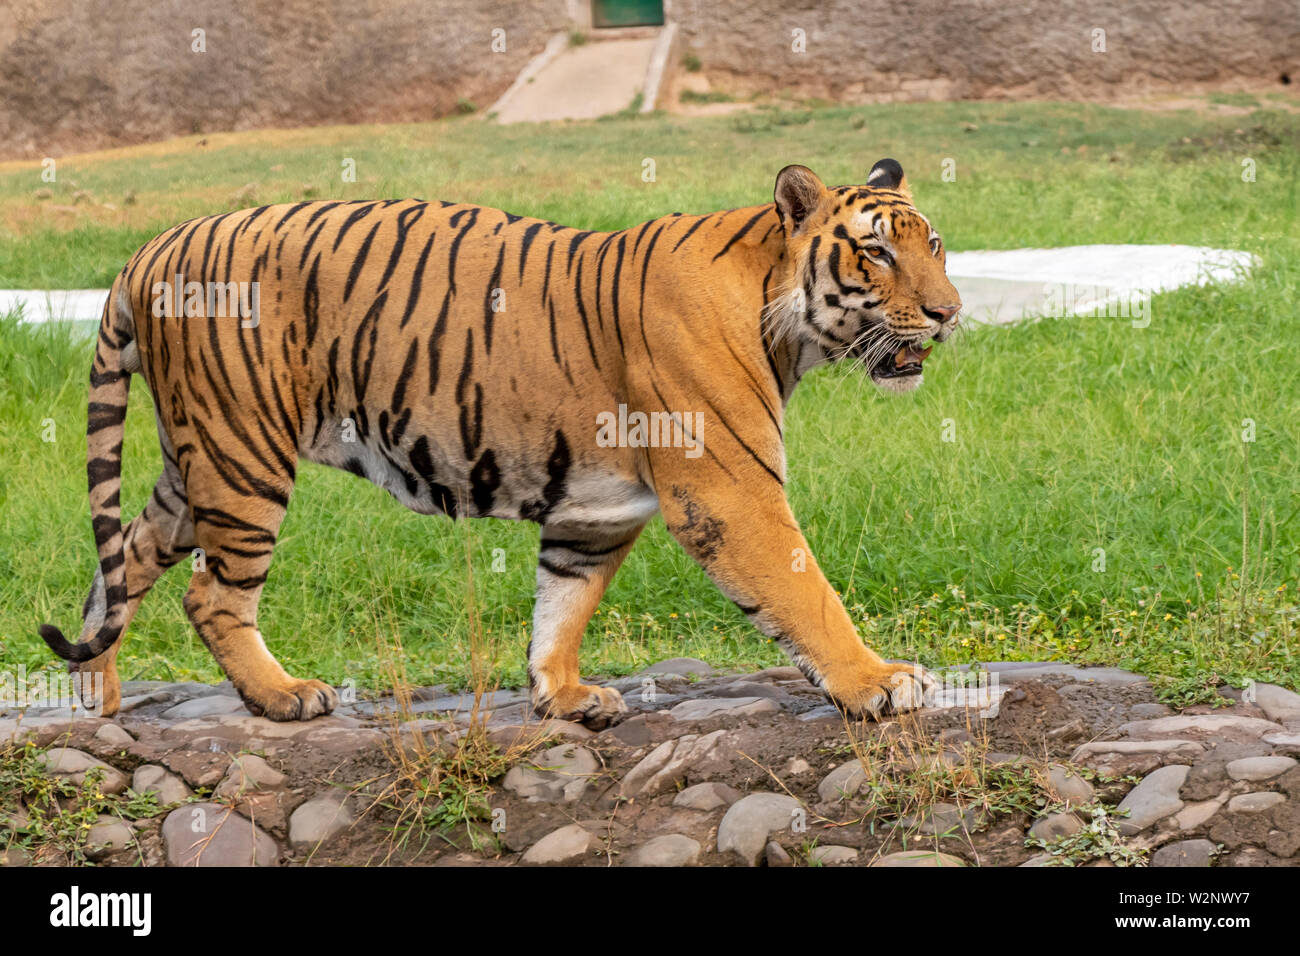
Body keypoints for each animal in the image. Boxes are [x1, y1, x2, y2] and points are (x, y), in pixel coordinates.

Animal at [40, 157, 962, 728]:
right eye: (877, 254)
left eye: (937, 244)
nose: (950, 312)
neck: (785, 320)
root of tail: (149, 248)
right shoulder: (728, 491)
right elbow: (806, 593)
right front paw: (879, 683)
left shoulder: (594, 512)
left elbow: (563, 601)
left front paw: (562, 696)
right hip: (243, 457)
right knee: (209, 595)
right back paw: (283, 696)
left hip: (196, 461)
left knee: (122, 557)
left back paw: (100, 695)